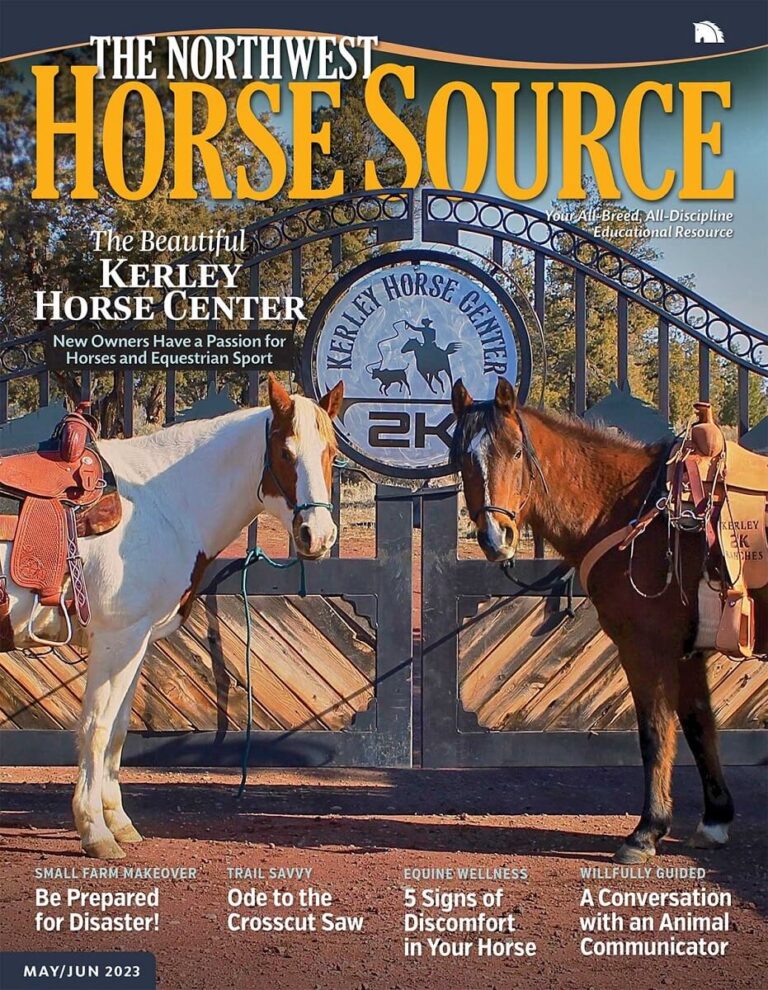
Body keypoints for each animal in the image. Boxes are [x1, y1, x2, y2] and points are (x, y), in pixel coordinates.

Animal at [0, 374, 343, 859]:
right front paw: (95, 831)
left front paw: (119, 822)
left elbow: (118, 729)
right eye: (284, 452)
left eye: (330, 452)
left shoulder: (136, 642)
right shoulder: (117, 638)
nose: (318, 536)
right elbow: (96, 727)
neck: (157, 503)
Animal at [451, 376, 750, 865]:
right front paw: (715, 820)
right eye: (461, 457)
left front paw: (646, 831)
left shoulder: (647, 648)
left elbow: (655, 733)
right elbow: (698, 724)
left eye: (515, 451)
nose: (497, 538)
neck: (637, 515)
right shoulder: (686, 653)